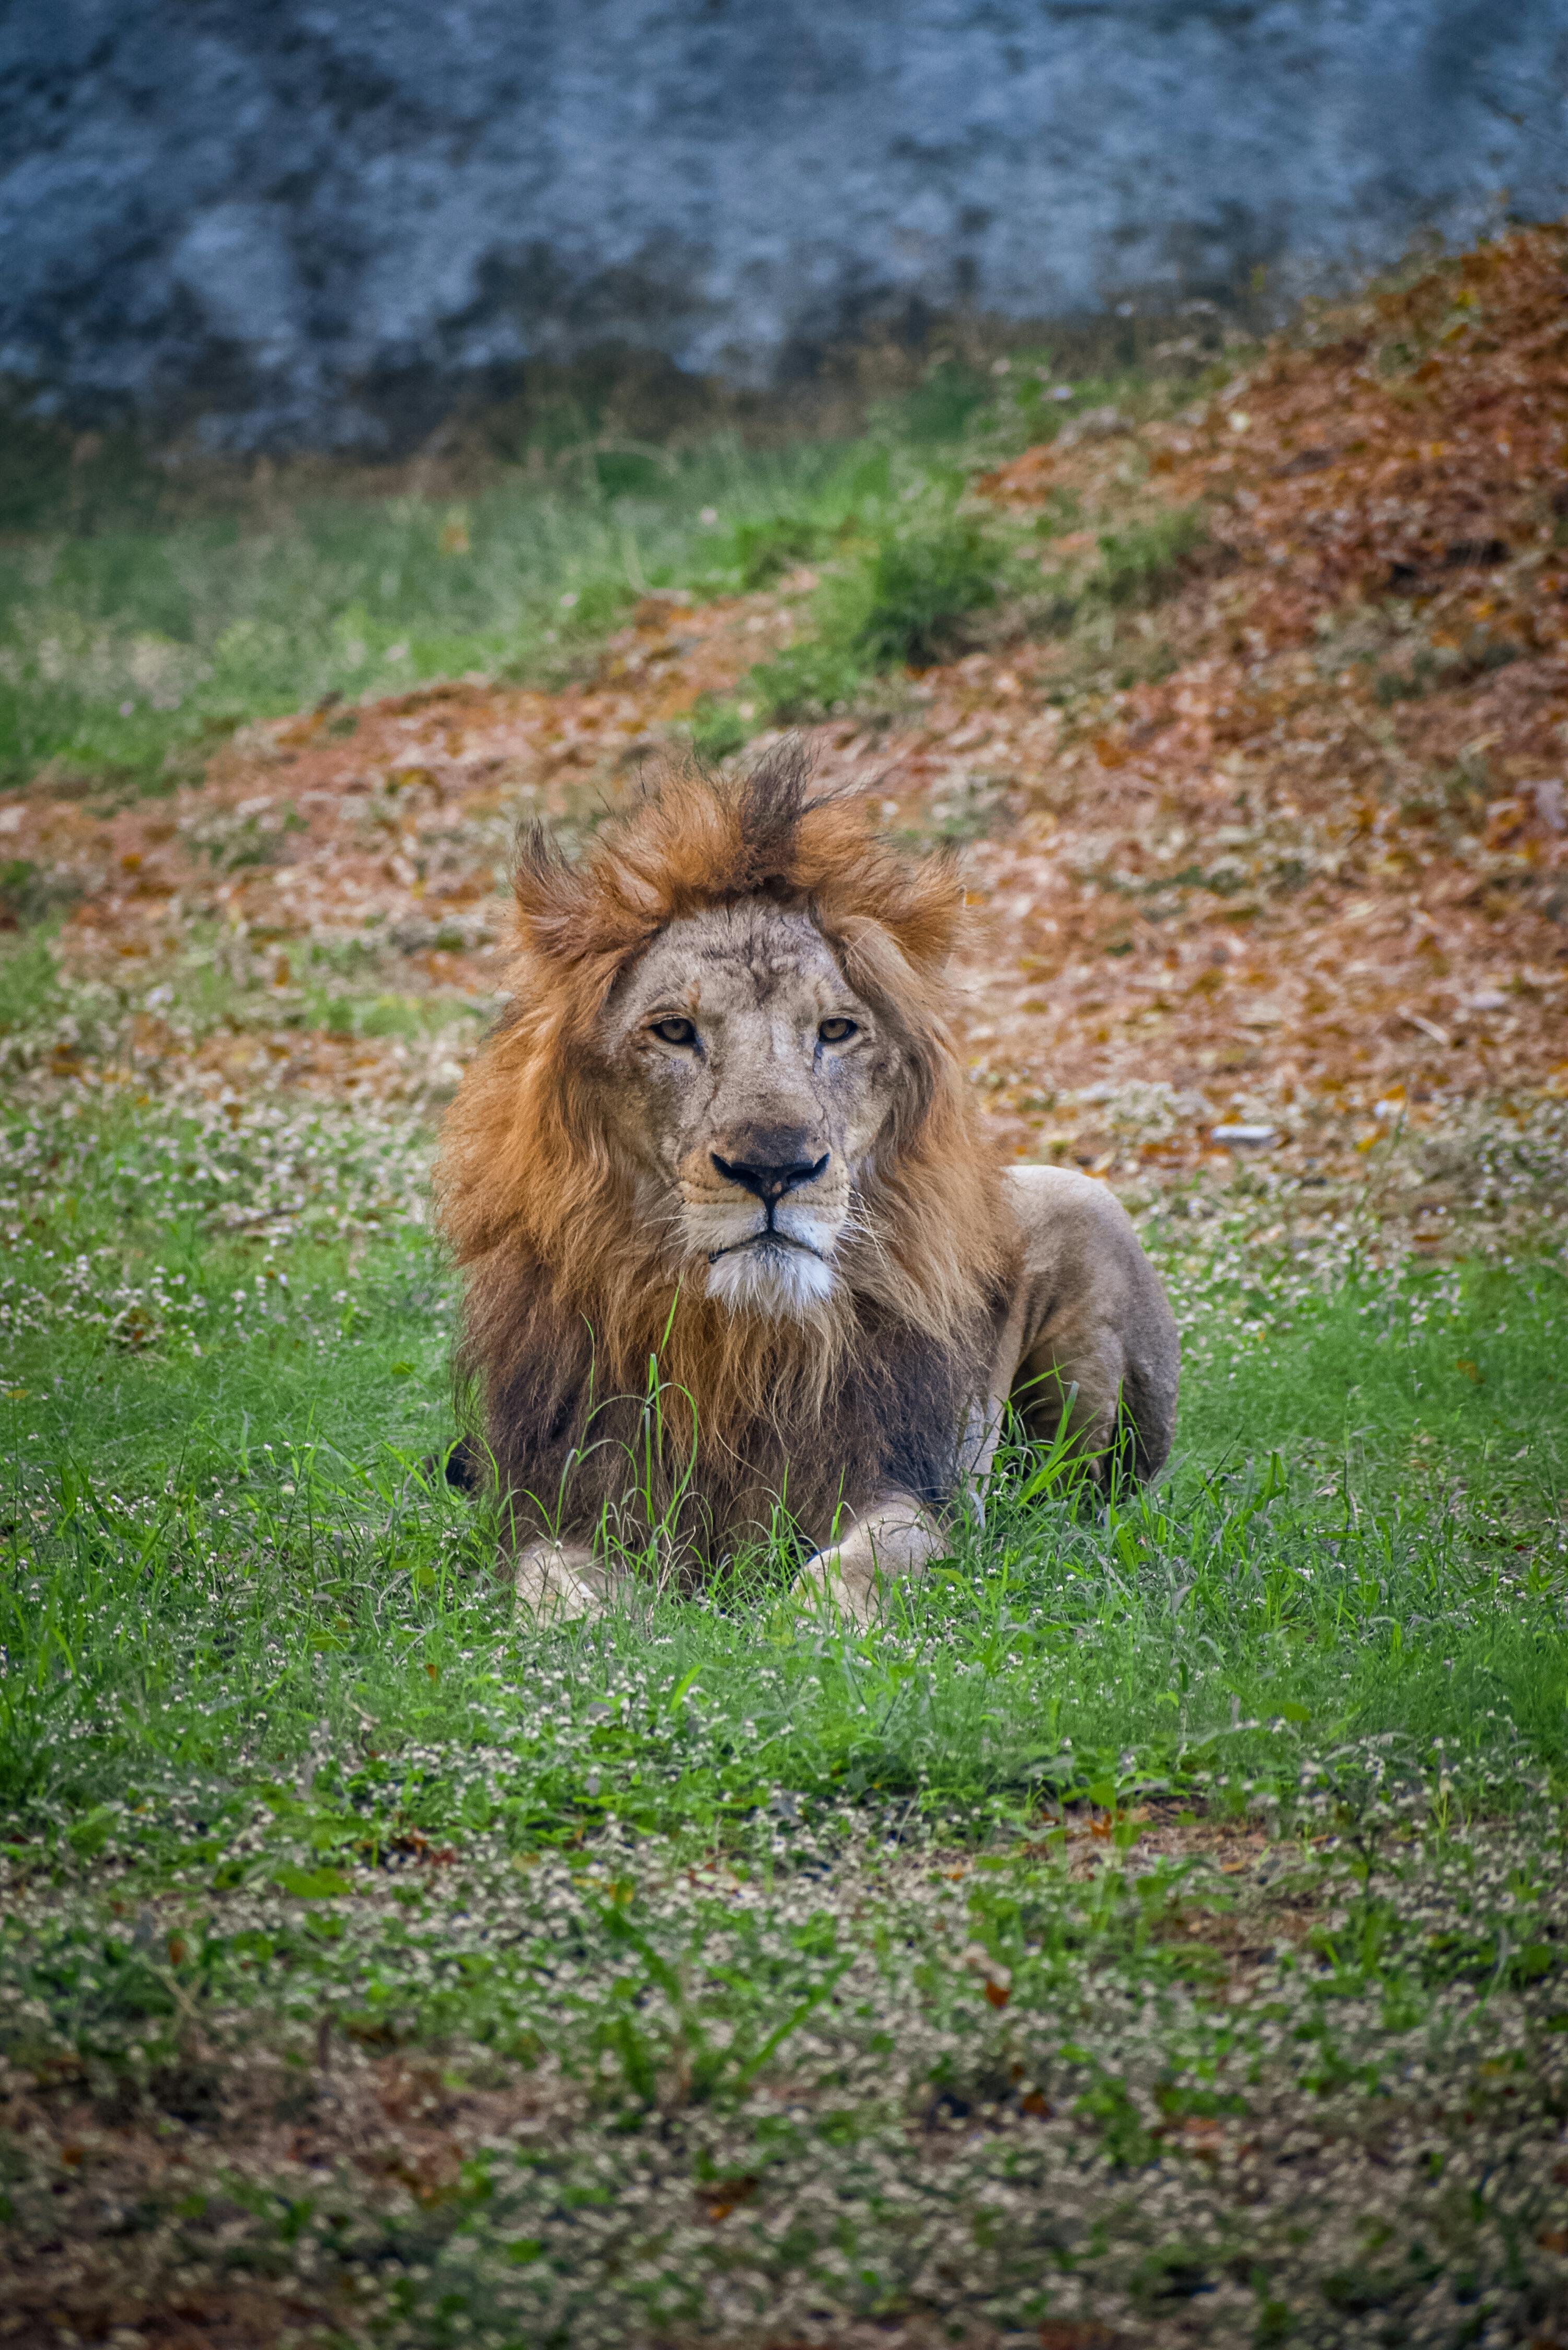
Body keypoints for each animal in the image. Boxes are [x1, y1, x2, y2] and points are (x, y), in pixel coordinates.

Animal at [435, 746, 1178, 1622]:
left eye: (836, 1030)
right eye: (675, 1030)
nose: (774, 1169)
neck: (736, 1346)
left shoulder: (899, 1478)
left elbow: (873, 1557)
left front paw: (811, 1623)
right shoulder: (571, 1494)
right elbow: (553, 1587)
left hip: (1086, 1223)